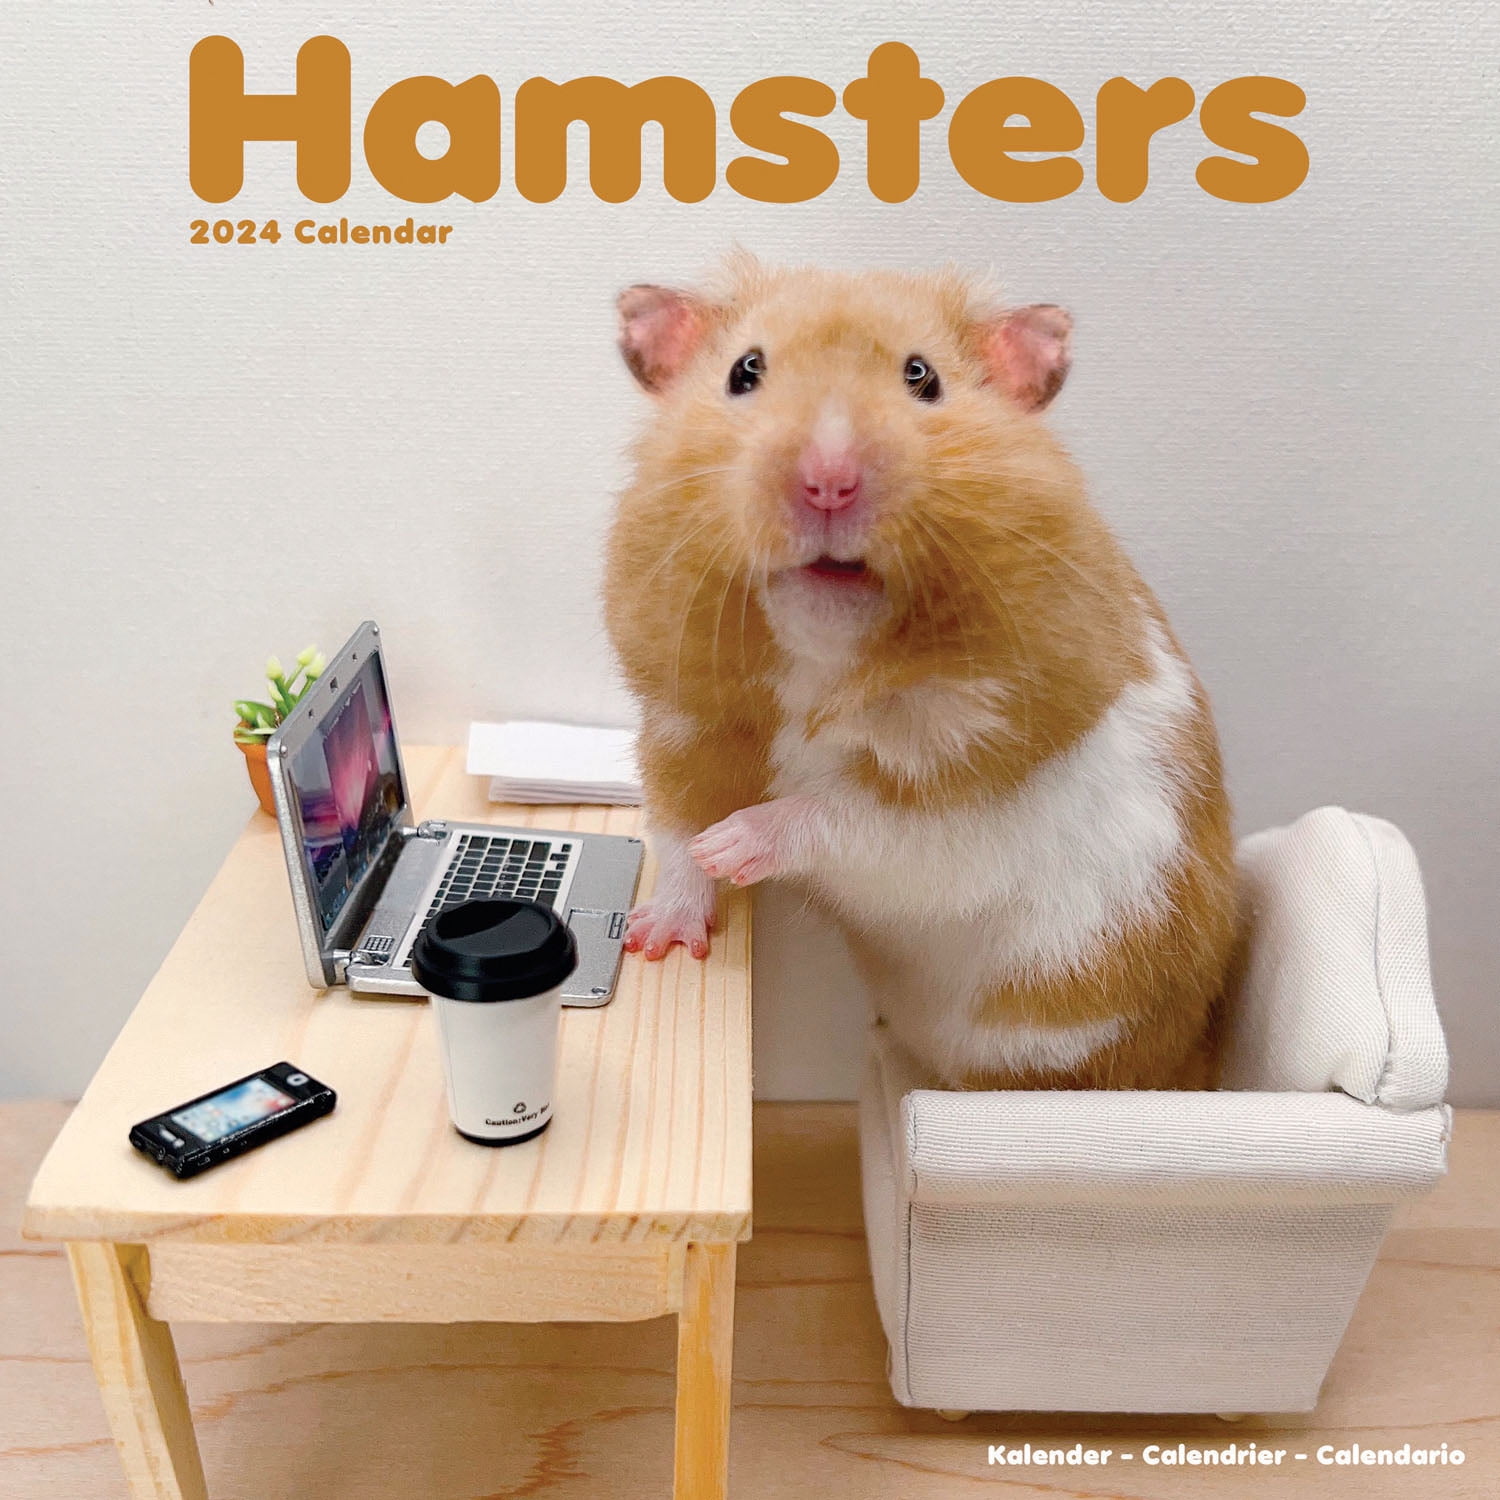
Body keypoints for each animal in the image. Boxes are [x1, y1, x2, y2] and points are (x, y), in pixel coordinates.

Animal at [603, 252, 1237, 1090]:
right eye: (745, 371)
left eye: (922, 377)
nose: (828, 482)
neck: (821, 658)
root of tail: (1185, 1052)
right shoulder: (687, 725)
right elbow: (675, 832)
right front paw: (660, 938)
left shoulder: (959, 812)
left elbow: (839, 818)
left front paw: (734, 845)